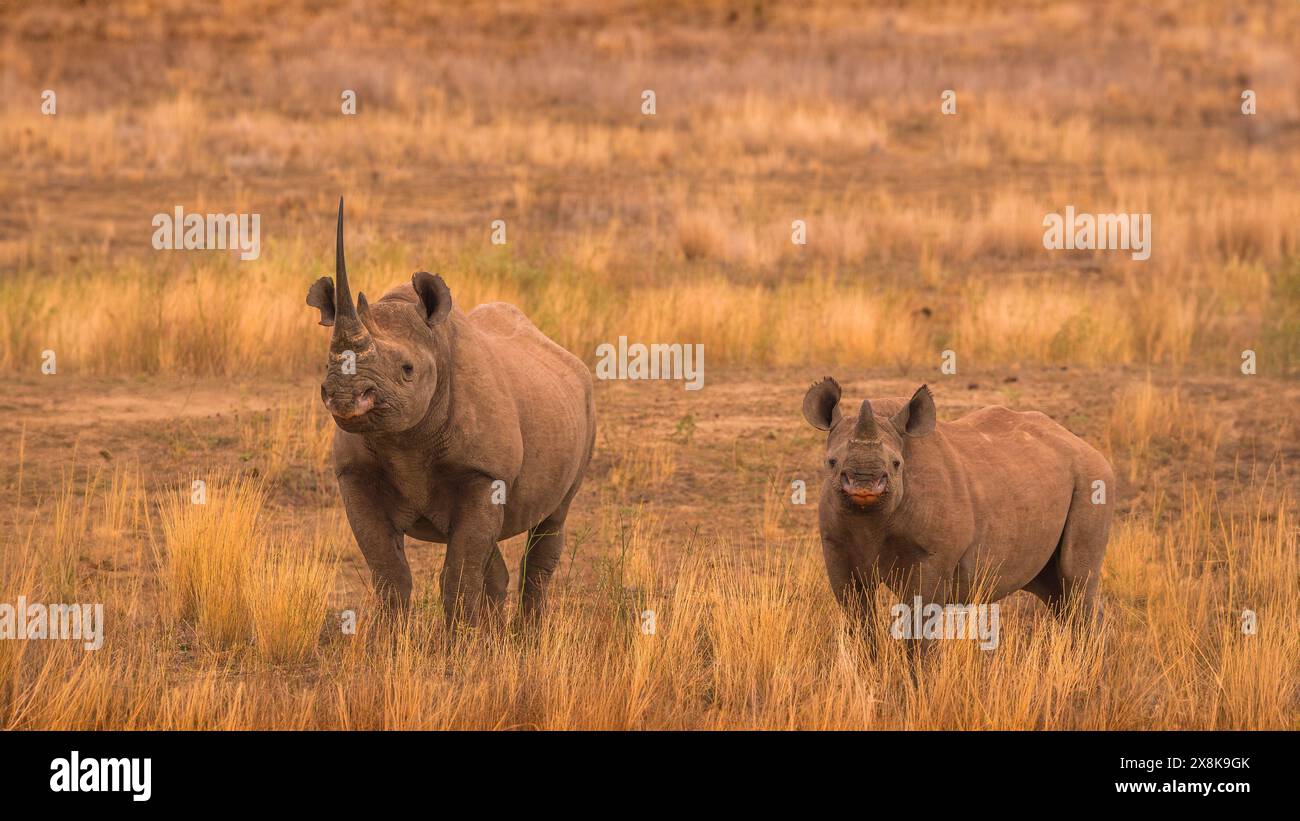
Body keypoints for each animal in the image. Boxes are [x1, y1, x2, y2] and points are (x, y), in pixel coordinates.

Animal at [306, 200, 596, 626]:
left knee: (550, 523)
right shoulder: (354, 473)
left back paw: (527, 635)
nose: (345, 394)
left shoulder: (483, 472)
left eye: (407, 369)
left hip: (586, 409)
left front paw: (459, 642)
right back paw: (494, 635)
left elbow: (459, 573)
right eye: (327, 364)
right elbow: (389, 571)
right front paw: (389, 638)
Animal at [801, 378, 1112, 638]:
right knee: (1055, 592)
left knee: (1076, 579)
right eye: (831, 462)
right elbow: (858, 618)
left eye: (897, 464)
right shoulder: (836, 547)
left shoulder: (932, 557)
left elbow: (920, 629)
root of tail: (1083, 444)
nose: (864, 484)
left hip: (1092, 478)